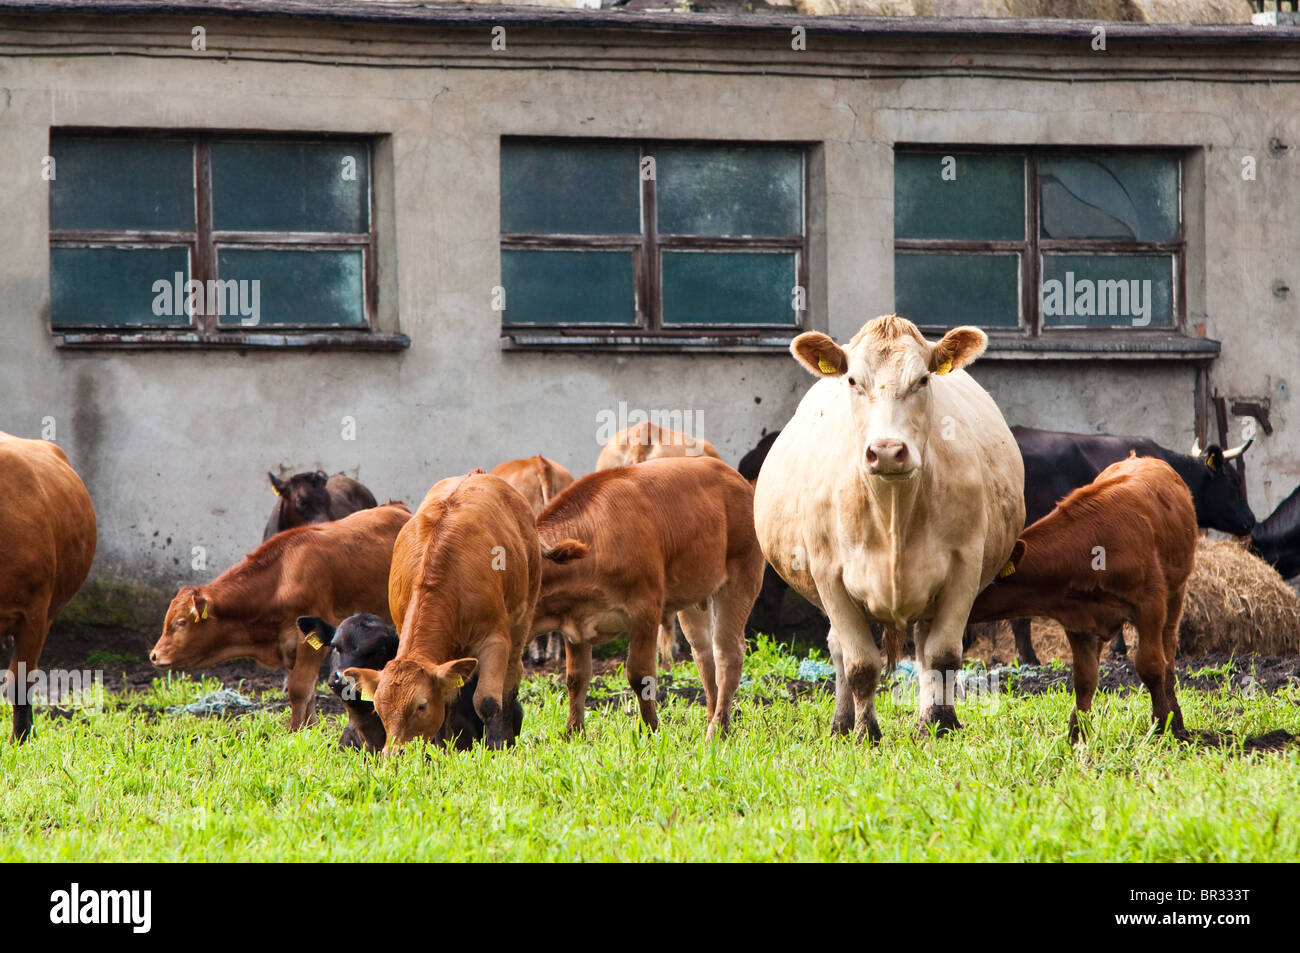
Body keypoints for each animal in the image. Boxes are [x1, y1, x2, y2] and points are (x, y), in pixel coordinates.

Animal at [151, 502, 411, 730]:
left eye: (181, 622)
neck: (281, 578)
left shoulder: (308, 641)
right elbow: (307, 690)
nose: (154, 655)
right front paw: (309, 728)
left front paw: (295, 730)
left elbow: (299, 688)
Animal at [343, 472, 541, 752]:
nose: (395, 753)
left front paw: (496, 745)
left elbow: (488, 700)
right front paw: (440, 749)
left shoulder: (495, 639)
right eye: (380, 710)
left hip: (522, 618)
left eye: (421, 706)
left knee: (511, 678)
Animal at [534, 455, 764, 740]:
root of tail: (738, 480)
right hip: (695, 598)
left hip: (742, 578)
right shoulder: (574, 624)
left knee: (728, 653)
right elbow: (576, 678)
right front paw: (574, 732)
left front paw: (650, 729)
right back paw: (712, 719)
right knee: (704, 654)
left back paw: (717, 729)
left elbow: (640, 675)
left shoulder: (644, 610)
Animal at [753, 315, 1024, 740]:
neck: (892, 510)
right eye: (852, 380)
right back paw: (841, 723)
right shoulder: (828, 575)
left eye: (923, 380)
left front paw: (940, 725)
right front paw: (866, 732)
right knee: (838, 648)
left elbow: (942, 656)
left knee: (924, 644)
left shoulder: (965, 567)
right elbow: (861, 665)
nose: (885, 451)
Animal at [967, 455, 1197, 741]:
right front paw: (1077, 735)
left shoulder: (1150, 606)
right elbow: (1084, 679)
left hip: (1175, 594)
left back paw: (1176, 718)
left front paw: (1161, 723)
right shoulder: (1079, 622)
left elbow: (1151, 666)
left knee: (1168, 652)